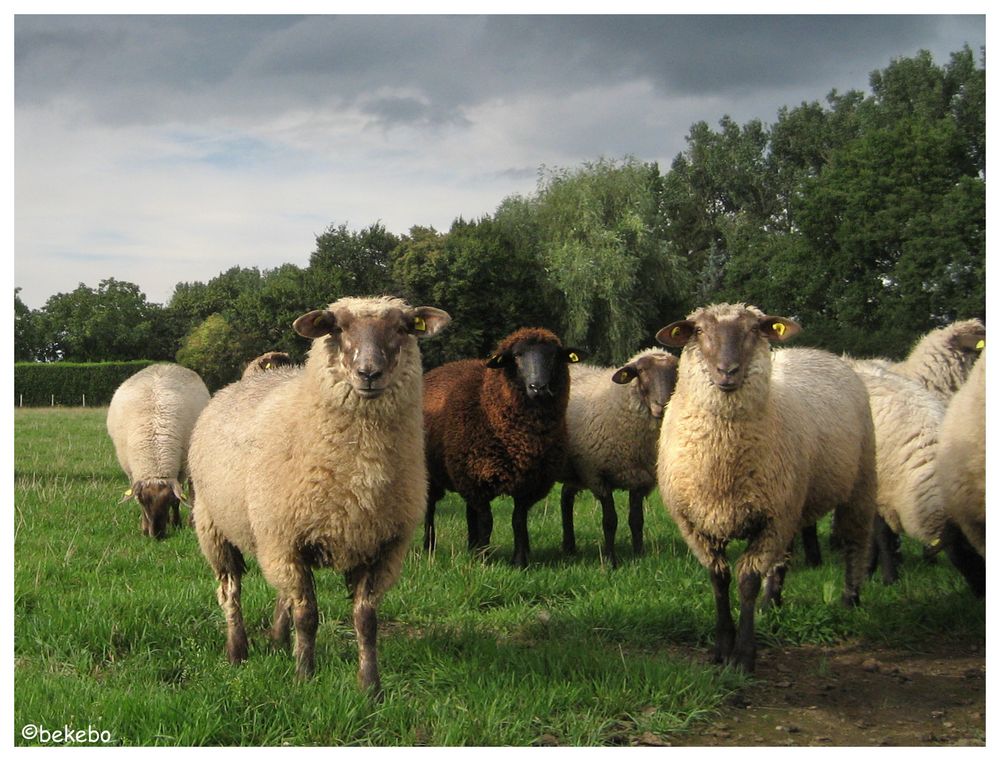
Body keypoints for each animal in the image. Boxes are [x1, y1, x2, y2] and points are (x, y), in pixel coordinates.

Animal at [106, 363, 210, 539]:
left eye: (168, 500)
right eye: (142, 501)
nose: (157, 535)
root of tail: (163, 365)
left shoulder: (180, 470)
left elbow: (178, 500)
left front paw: (176, 523)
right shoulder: (132, 473)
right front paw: (144, 528)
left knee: (192, 491)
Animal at [188, 296, 450, 691]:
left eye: (403, 327)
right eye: (336, 327)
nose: (369, 373)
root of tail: (251, 377)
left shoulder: (382, 549)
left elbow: (366, 619)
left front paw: (370, 686)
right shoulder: (286, 540)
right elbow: (308, 616)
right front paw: (304, 677)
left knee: (280, 594)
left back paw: (277, 640)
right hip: (213, 525)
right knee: (230, 591)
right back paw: (237, 651)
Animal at [422, 327, 582, 568]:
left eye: (554, 355)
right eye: (516, 356)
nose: (538, 387)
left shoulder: (530, 483)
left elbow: (518, 520)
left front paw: (519, 560)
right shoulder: (476, 480)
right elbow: (487, 521)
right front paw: (483, 560)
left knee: (469, 512)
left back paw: (472, 546)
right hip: (432, 473)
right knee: (430, 508)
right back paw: (429, 547)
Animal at [559, 348, 678, 567]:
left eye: (675, 370)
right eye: (641, 371)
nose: (662, 406)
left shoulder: (640, 479)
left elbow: (636, 521)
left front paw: (639, 555)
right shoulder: (597, 476)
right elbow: (610, 521)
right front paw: (610, 559)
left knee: (566, 497)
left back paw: (569, 547)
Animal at [655, 303, 876, 673]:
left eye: (754, 329)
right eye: (698, 331)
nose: (727, 371)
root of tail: (814, 351)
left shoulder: (771, 519)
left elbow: (747, 582)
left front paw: (744, 656)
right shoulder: (695, 524)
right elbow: (718, 579)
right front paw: (721, 647)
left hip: (860, 482)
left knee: (855, 544)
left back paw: (851, 598)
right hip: (792, 503)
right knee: (783, 557)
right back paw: (771, 603)